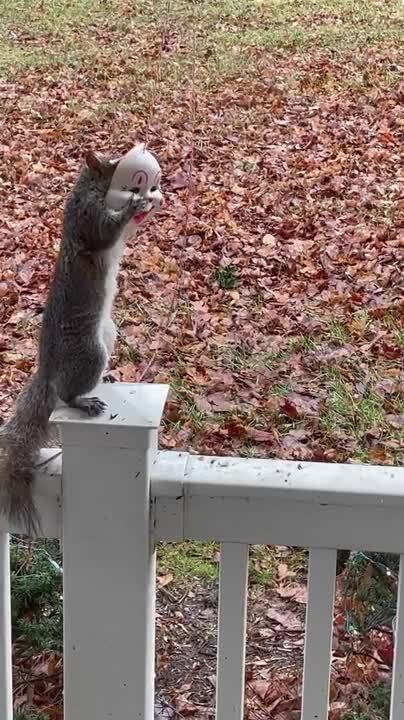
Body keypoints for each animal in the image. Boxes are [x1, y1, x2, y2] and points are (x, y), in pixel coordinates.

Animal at [0, 150, 146, 535]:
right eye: (114, 163)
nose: (128, 155)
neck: (88, 190)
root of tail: (48, 371)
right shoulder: (88, 218)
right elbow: (105, 233)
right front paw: (134, 206)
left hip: (106, 334)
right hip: (88, 352)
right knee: (67, 394)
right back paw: (84, 401)